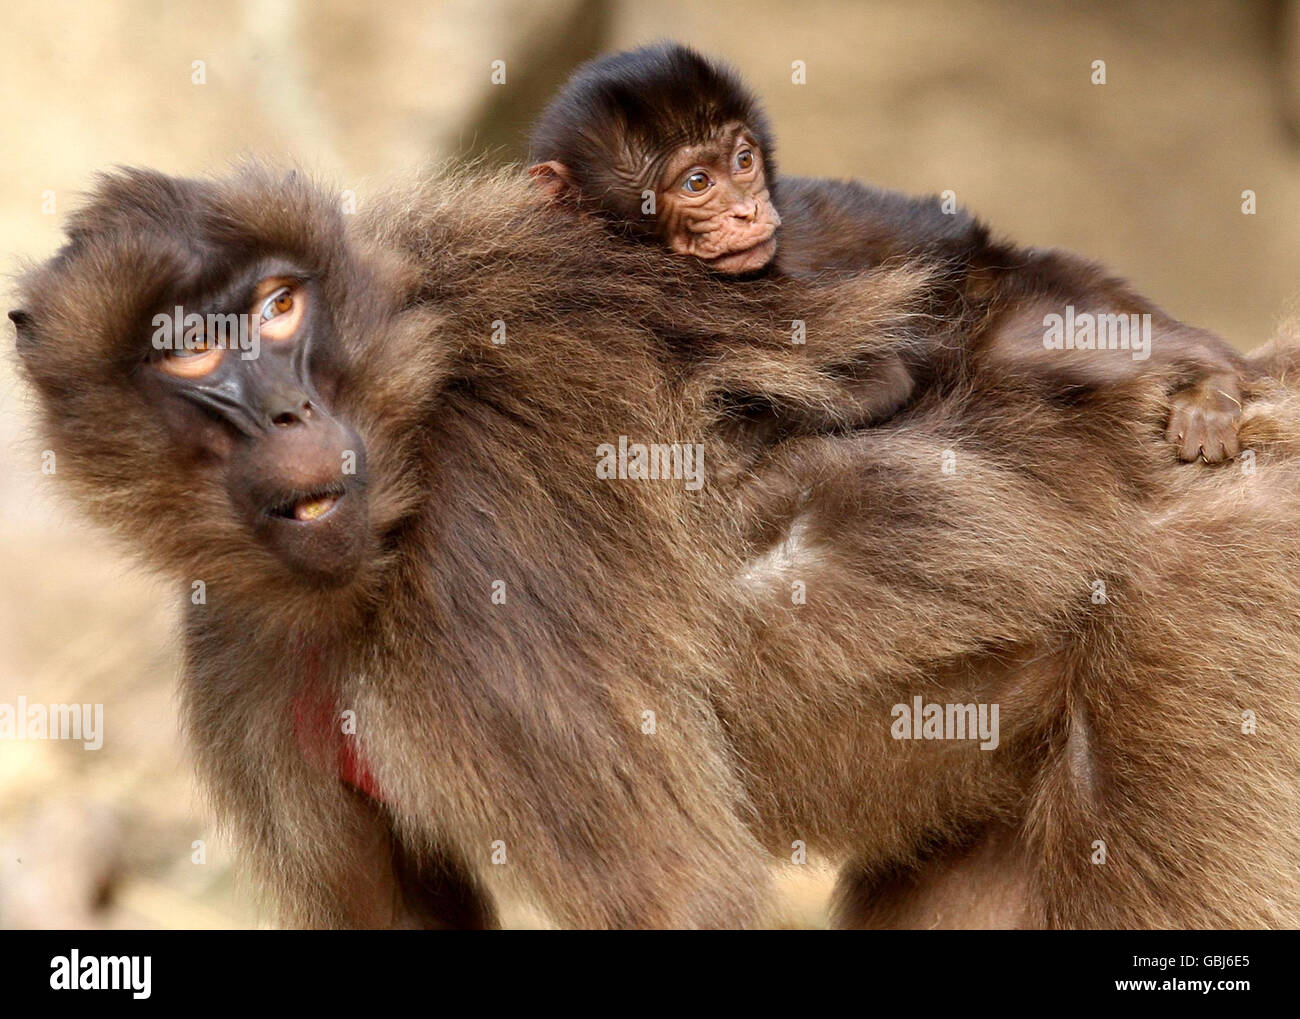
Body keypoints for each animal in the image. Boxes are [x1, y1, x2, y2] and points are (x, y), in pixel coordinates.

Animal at [12, 164, 1300, 928]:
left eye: (280, 309)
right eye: (189, 347)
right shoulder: (235, 639)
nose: (286, 411)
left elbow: (676, 901)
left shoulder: (481, 575)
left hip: (1227, 592)